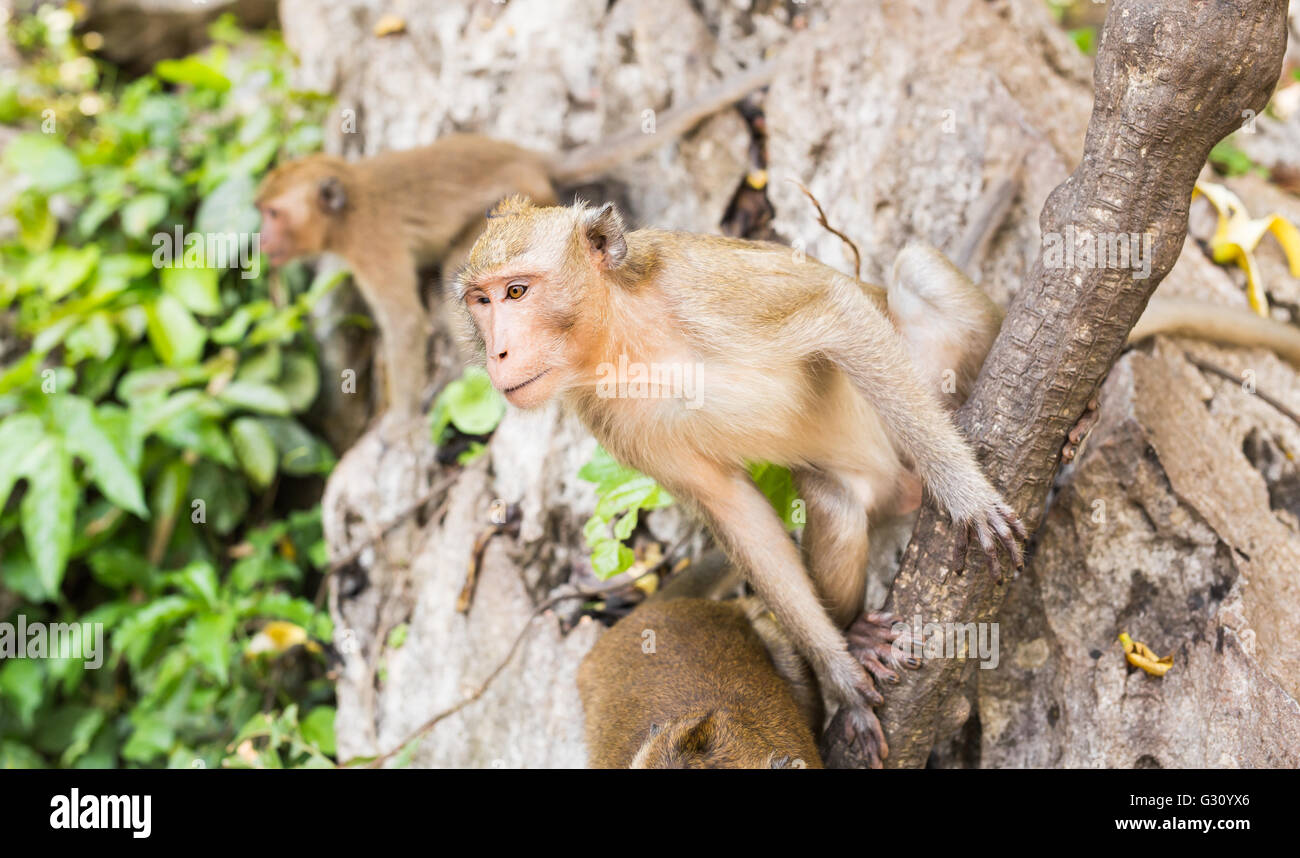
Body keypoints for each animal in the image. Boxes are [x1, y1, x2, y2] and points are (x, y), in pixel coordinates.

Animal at [253, 62, 778, 429]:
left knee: (454, 271)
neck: (349, 205)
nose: (261, 238)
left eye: (273, 213)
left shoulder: (371, 243)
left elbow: (404, 324)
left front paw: (400, 425)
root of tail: (531, 157)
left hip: (510, 204)